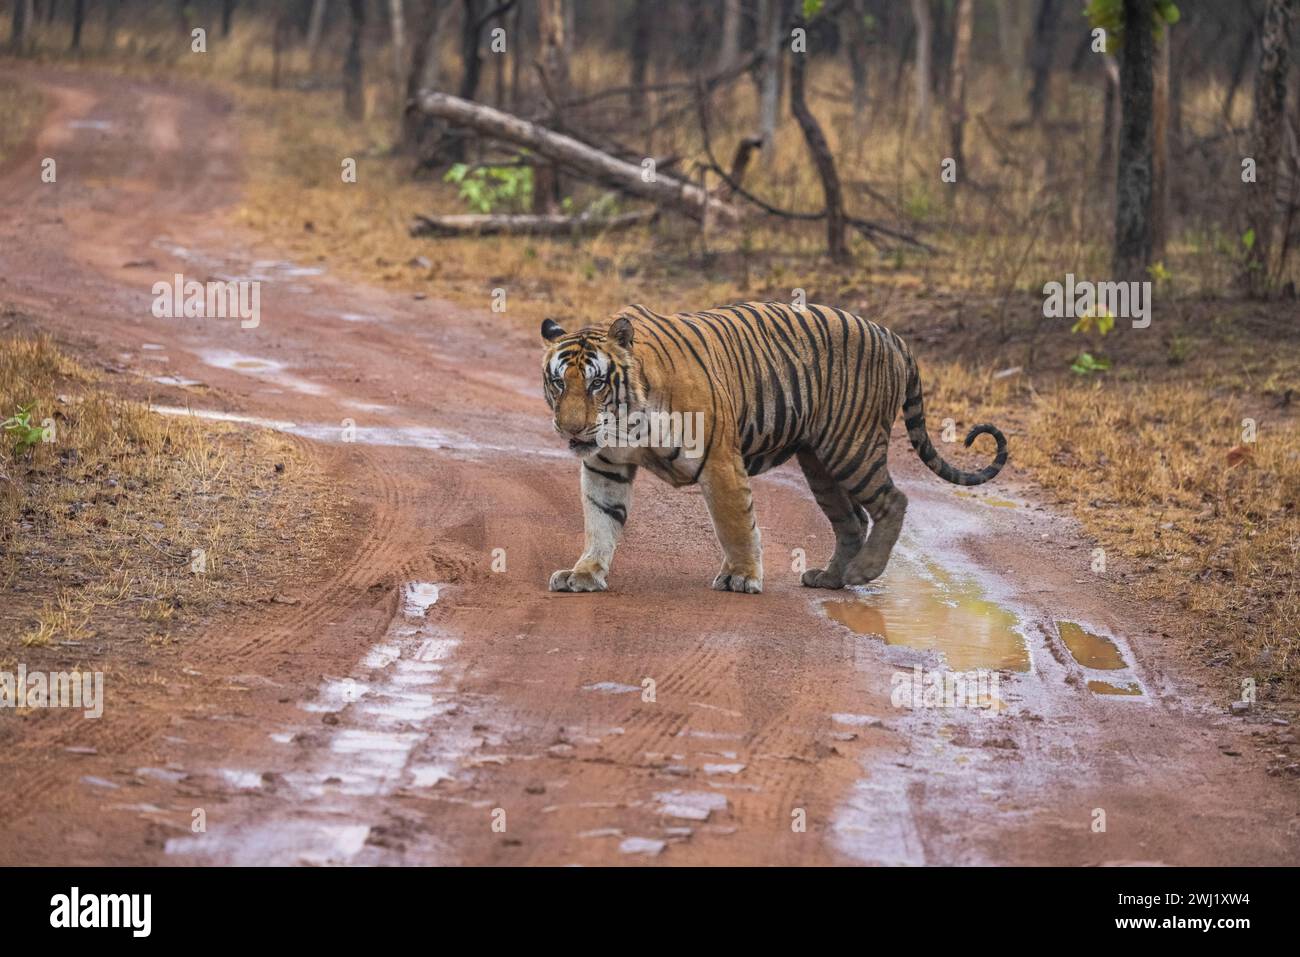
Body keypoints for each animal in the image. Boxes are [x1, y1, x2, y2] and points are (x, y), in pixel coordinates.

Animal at [540, 301, 1007, 594]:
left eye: (597, 383)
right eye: (559, 382)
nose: (571, 428)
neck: (626, 422)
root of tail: (893, 336)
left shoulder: (719, 460)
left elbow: (735, 525)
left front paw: (742, 578)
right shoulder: (605, 465)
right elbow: (601, 522)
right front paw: (585, 574)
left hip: (850, 448)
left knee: (894, 500)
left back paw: (864, 571)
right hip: (819, 463)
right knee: (852, 519)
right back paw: (831, 578)